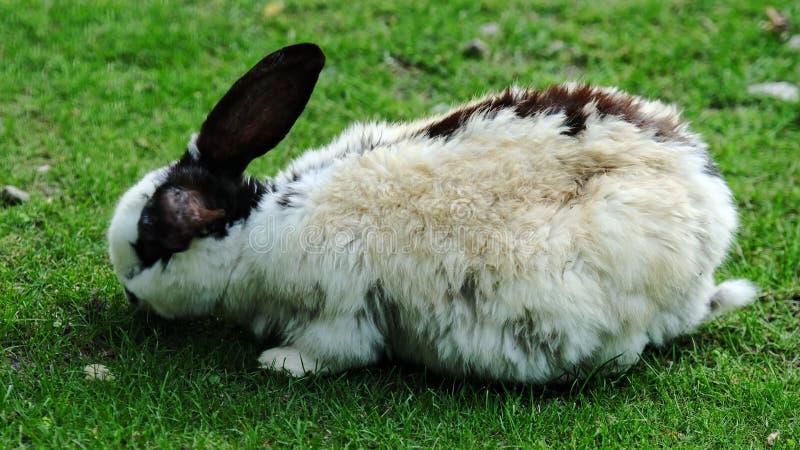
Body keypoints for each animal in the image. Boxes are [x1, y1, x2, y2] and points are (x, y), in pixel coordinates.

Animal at [108, 43, 757, 383]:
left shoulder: (341, 309)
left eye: (150, 240)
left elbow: (333, 351)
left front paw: (279, 362)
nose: (130, 297)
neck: (260, 228)